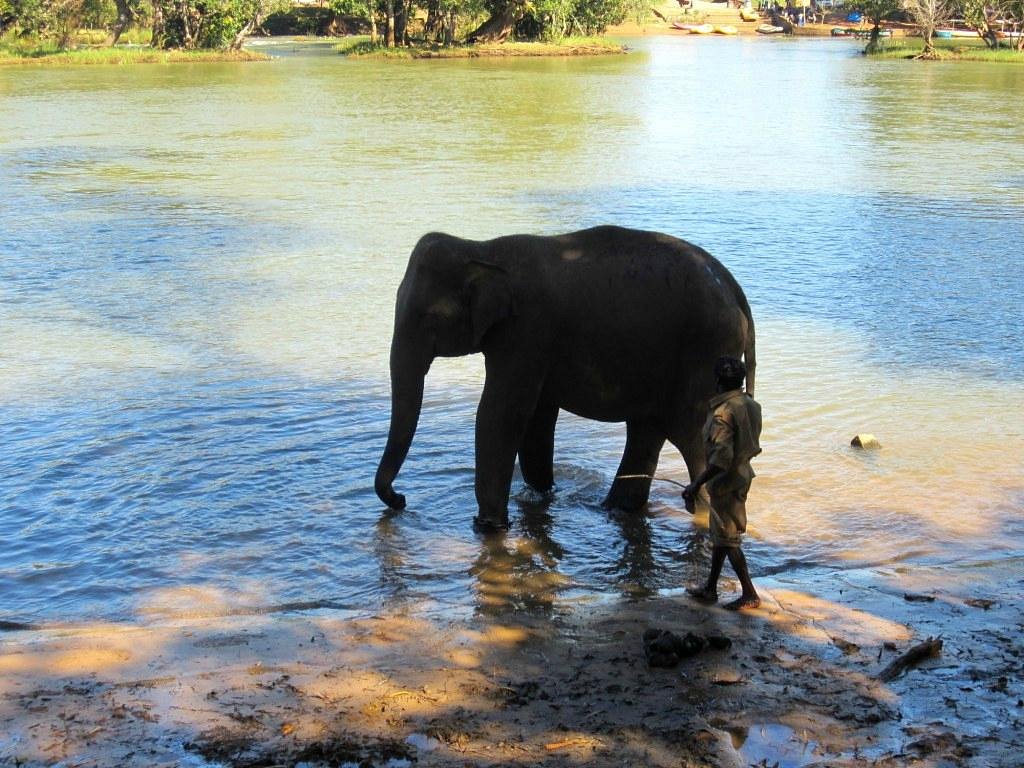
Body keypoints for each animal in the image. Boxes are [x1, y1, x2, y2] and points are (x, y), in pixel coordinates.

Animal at [374, 225, 756, 531]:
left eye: (429, 319)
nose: (401, 499)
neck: (482, 249)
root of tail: (736, 289)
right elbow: (537, 418)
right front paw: (540, 496)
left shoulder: (526, 330)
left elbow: (501, 413)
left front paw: (489, 526)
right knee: (646, 431)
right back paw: (615, 510)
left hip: (705, 354)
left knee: (693, 441)